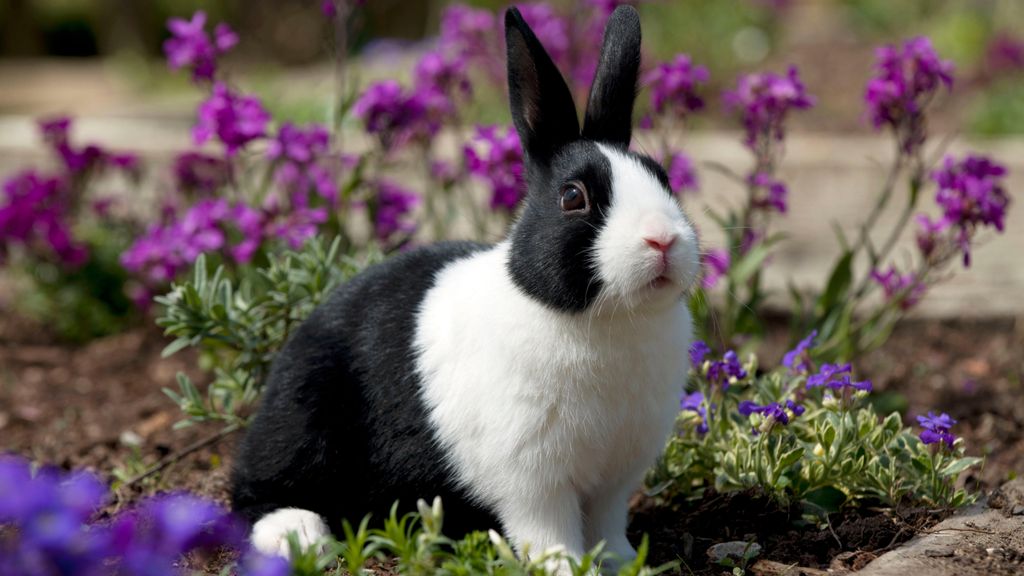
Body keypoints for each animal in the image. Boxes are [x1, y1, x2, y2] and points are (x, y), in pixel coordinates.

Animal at [231, 4, 699, 566]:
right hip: (301, 423)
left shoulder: (614, 478)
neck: (606, 319)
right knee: (254, 494)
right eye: (573, 197)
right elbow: (548, 531)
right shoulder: (533, 480)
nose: (663, 239)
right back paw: (296, 534)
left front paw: (627, 563)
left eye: (663, 177)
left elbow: (608, 523)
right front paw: (564, 568)